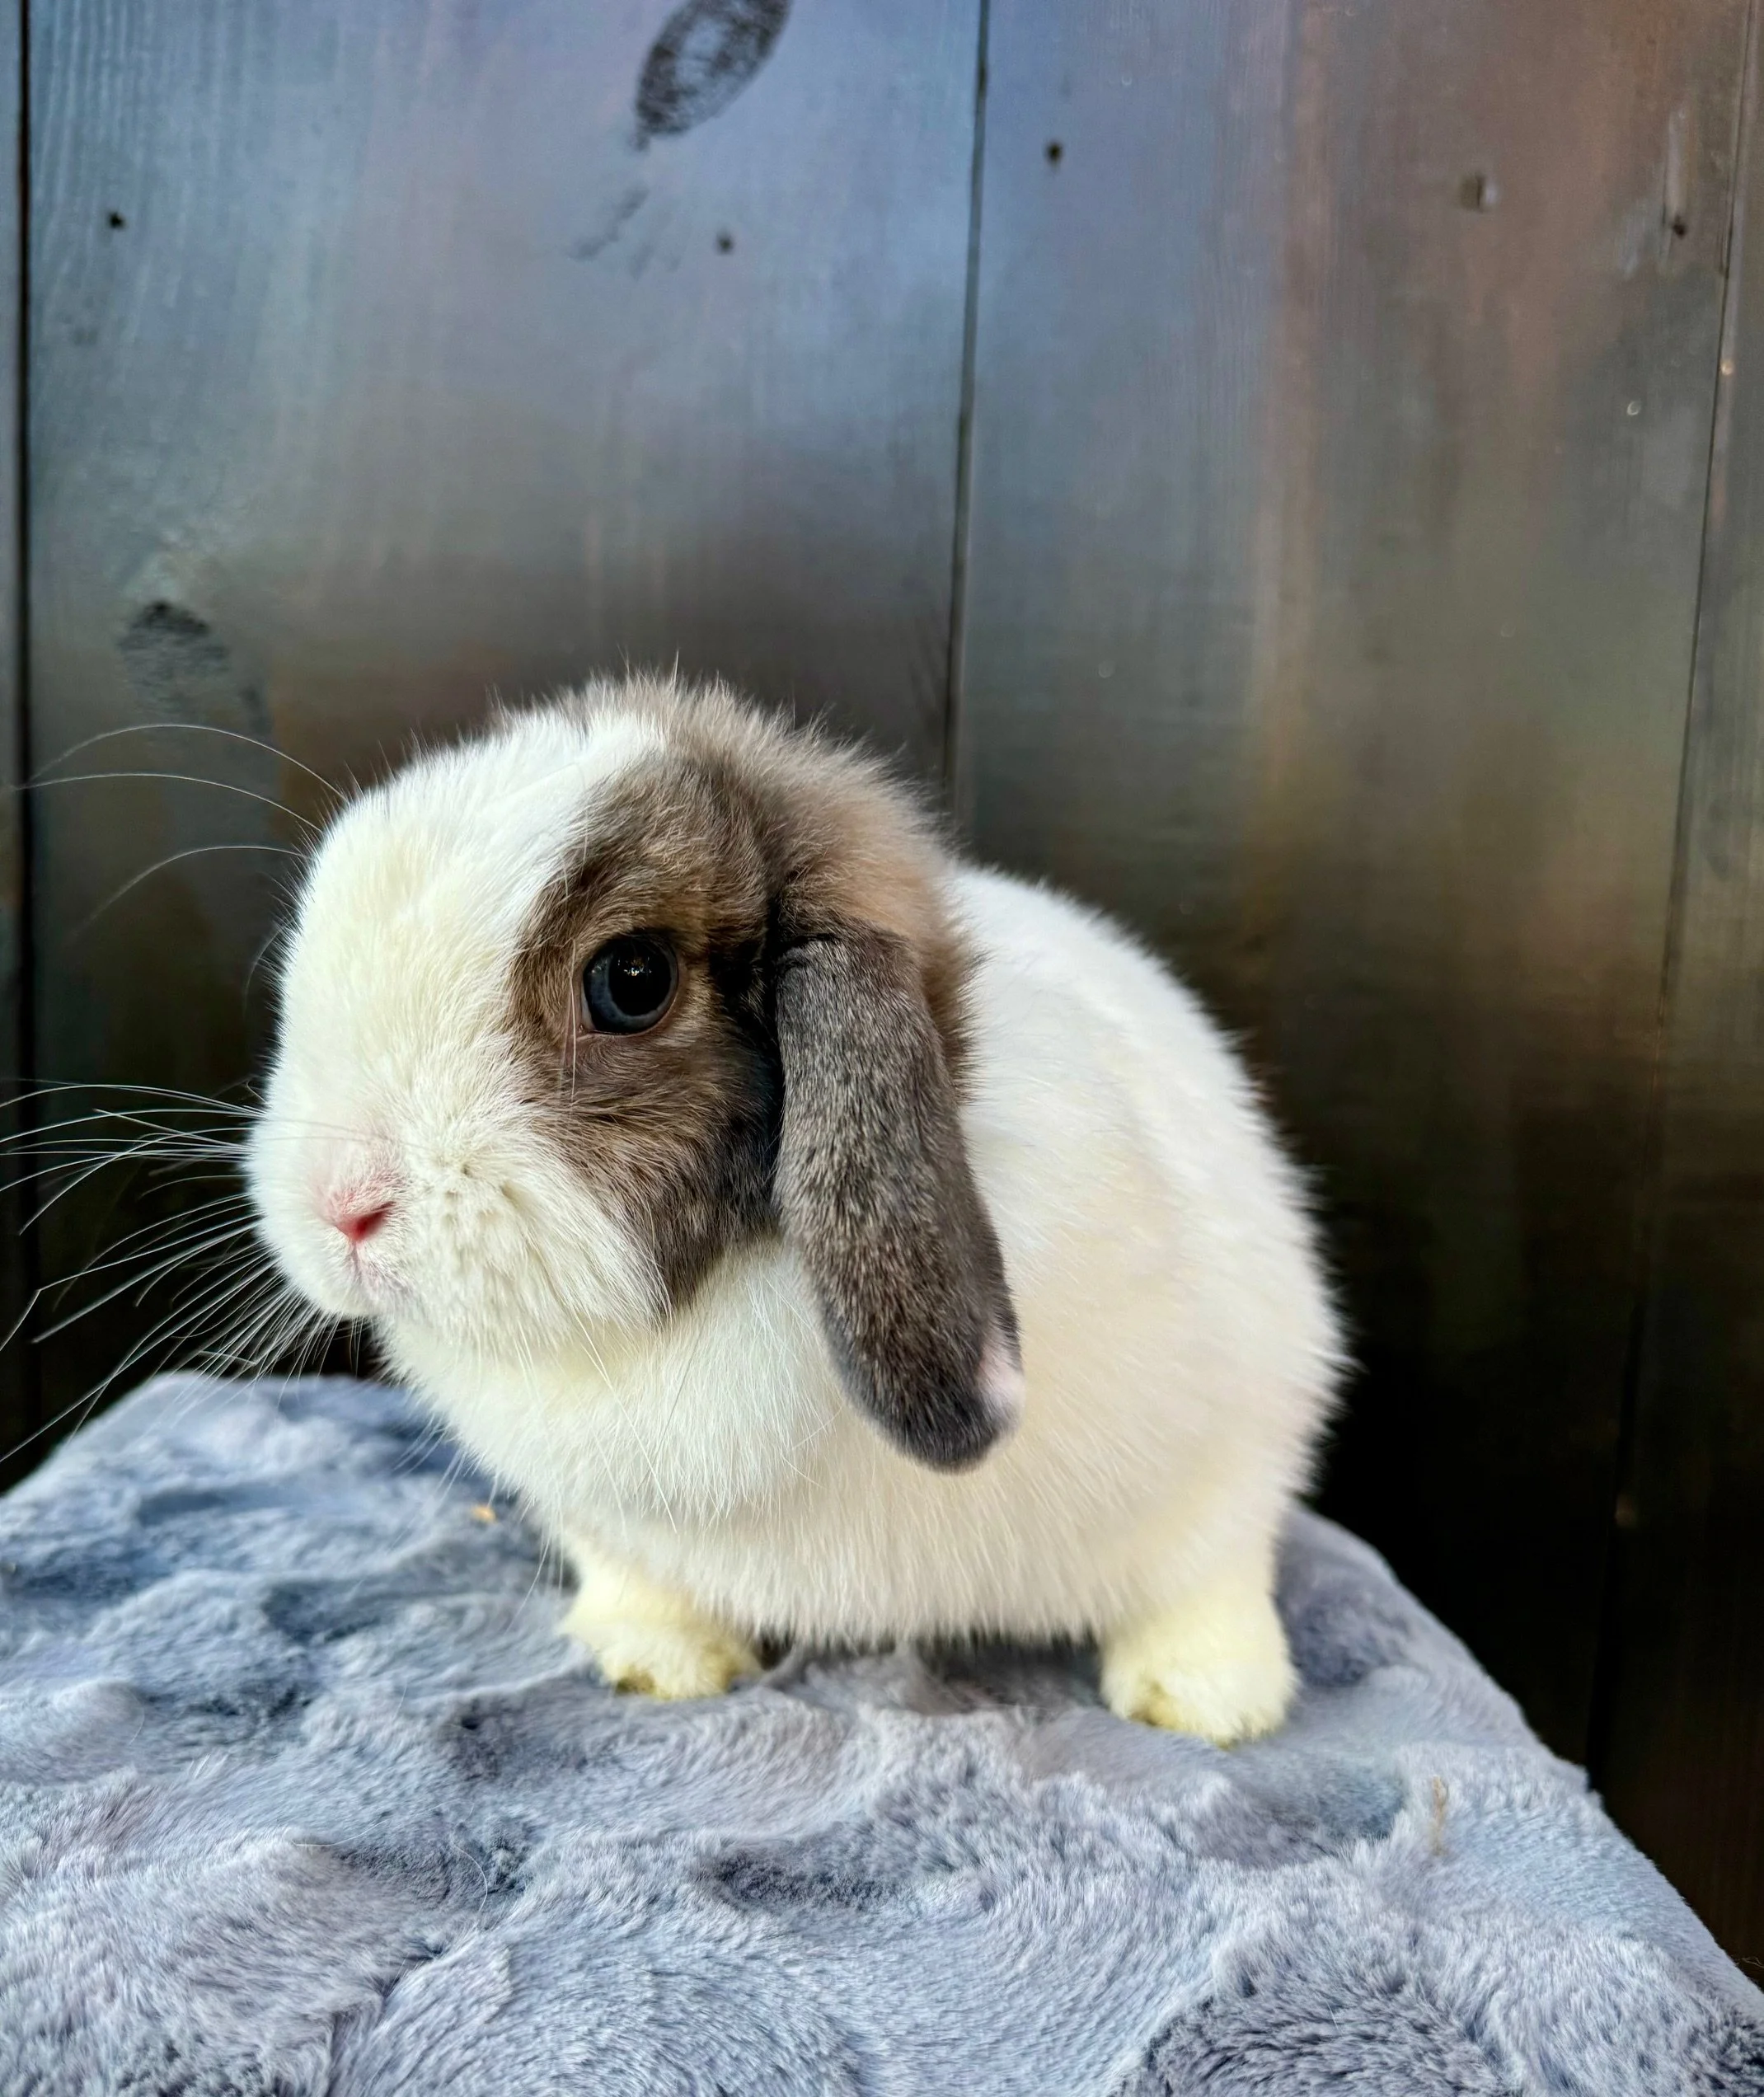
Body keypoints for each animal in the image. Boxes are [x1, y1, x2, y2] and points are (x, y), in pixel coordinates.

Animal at [247, 674, 1342, 1742]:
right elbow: (638, 1585)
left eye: (631, 980)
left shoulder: (1229, 1462)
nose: (340, 1206)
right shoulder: (612, 1529)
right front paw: (661, 1667)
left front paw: (1209, 1706)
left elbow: (1209, 1582)